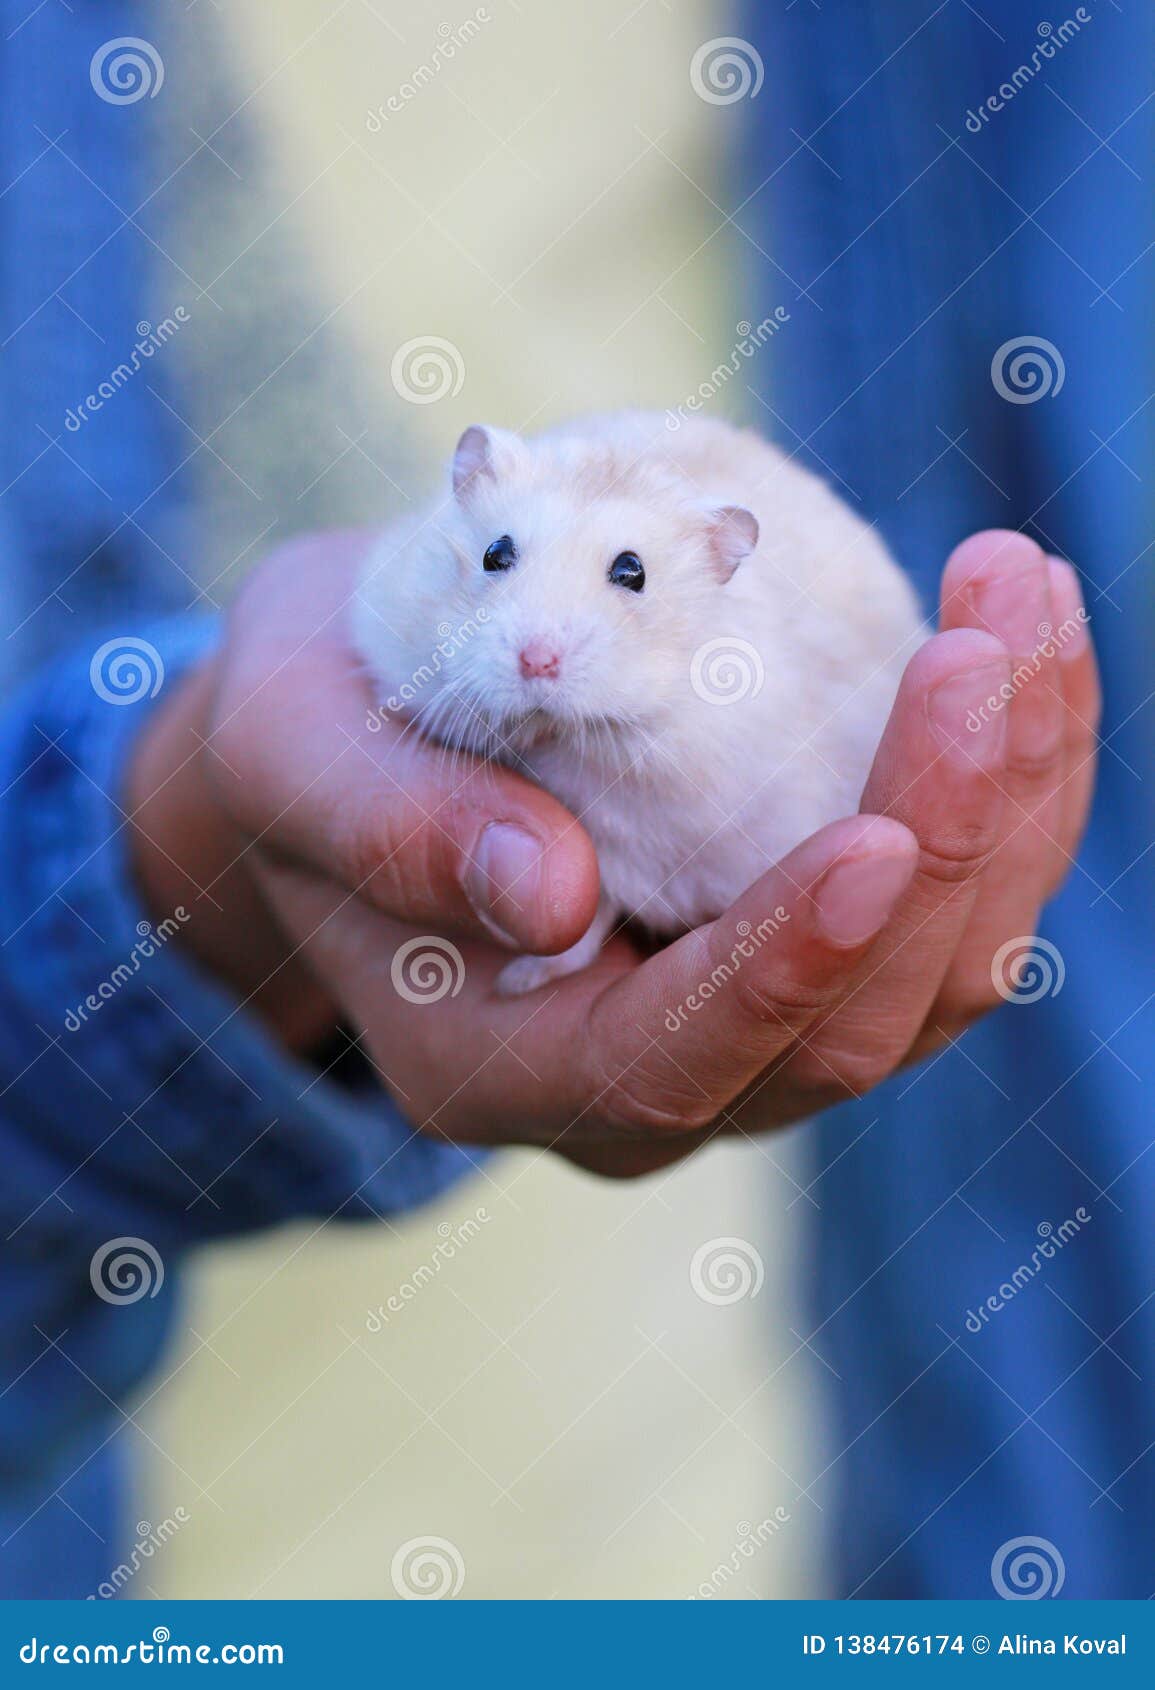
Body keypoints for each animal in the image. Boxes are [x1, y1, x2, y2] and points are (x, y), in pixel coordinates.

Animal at [354, 411, 924, 994]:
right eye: (495, 553)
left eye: (633, 572)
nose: (537, 661)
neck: (567, 738)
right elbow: (585, 921)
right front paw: (520, 980)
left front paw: (514, 982)